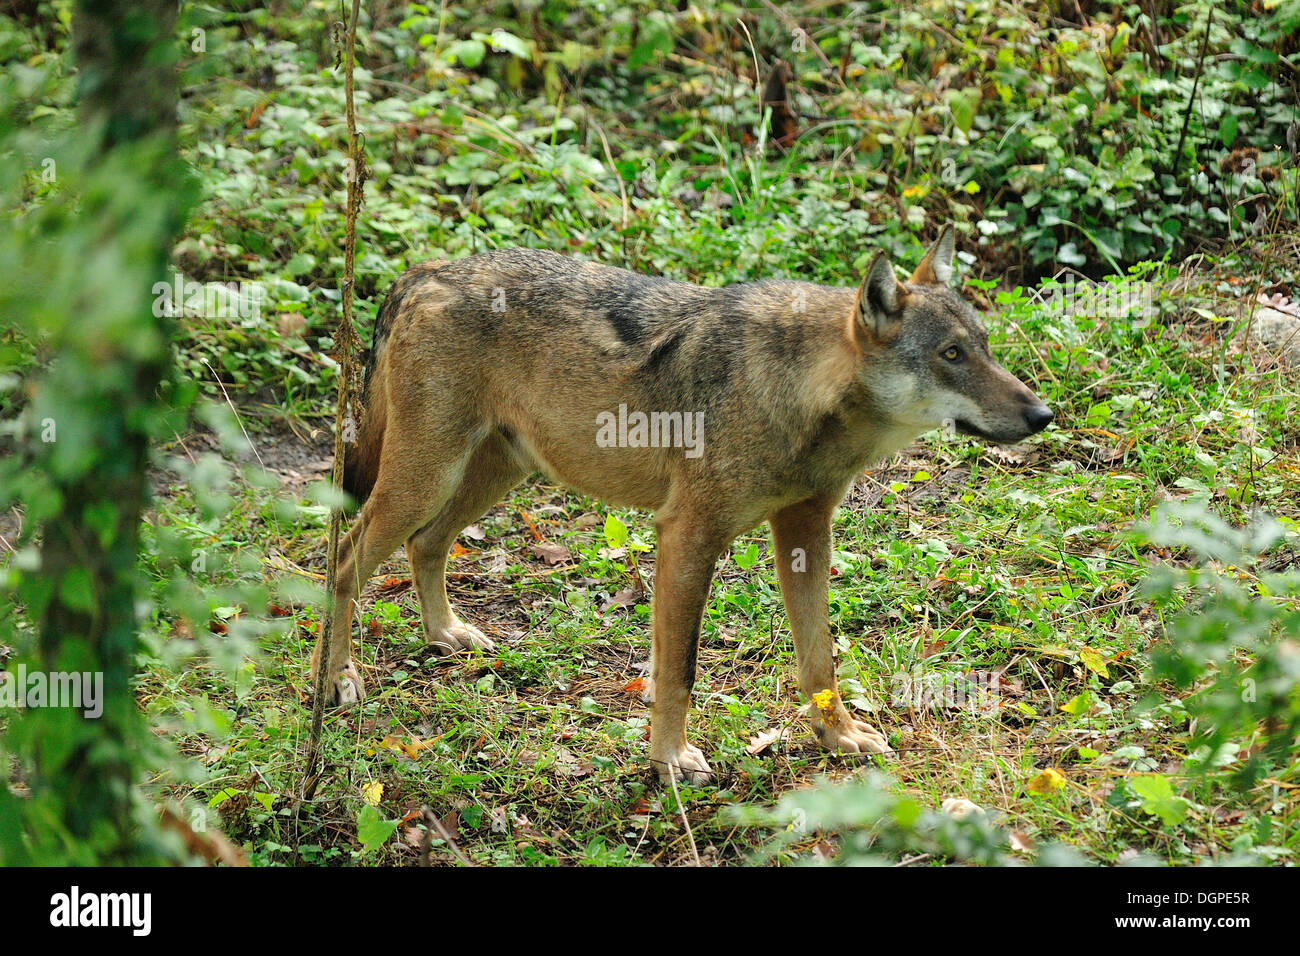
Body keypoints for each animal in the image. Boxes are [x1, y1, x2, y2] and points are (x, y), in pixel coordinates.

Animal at [312, 225, 1053, 783]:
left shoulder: (807, 532)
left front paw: (837, 737)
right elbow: (681, 670)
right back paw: (336, 680)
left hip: (490, 477)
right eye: (951, 355)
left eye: (985, 348)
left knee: (426, 545)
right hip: (425, 480)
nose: (1042, 414)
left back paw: (445, 635)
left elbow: (819, 658)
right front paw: (669, 760)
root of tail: (427, 269)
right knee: (344, 560)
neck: (794, 391)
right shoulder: (687, 537)